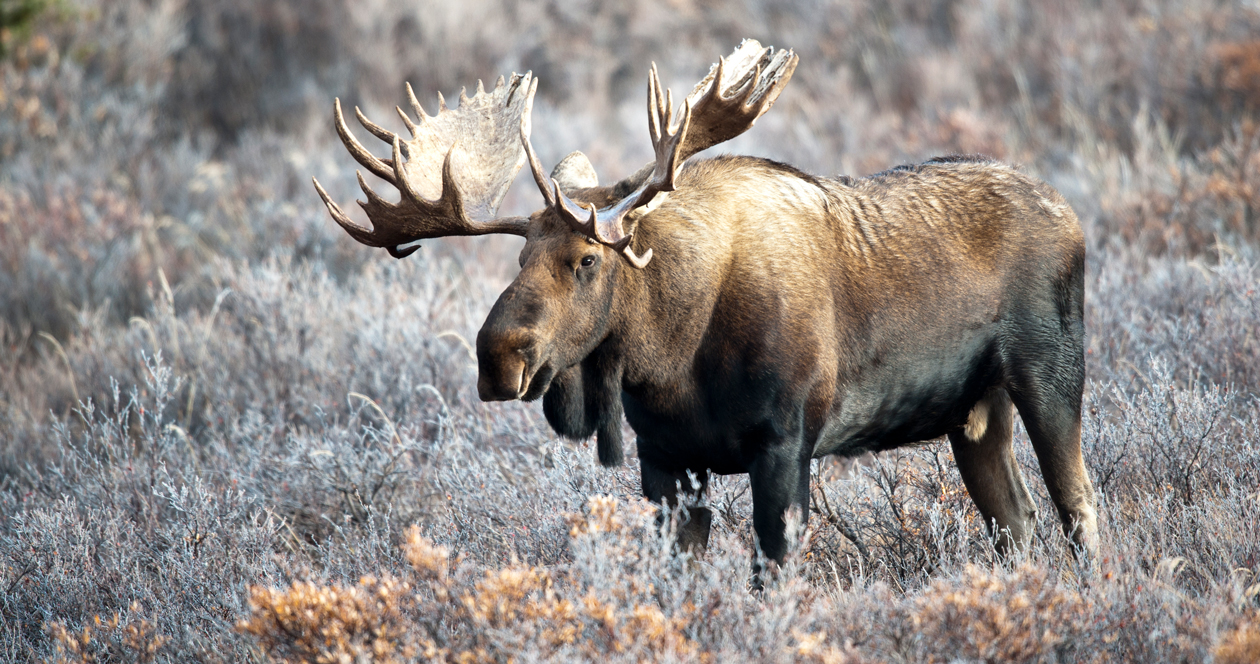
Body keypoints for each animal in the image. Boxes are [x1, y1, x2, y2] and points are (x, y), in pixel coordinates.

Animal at [313, 40, 1099, 571]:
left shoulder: (784, 445)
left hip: (1051, 376)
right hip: (975, 416)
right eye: (519, 259)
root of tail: (1072, 215)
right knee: (1018, 524)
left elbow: (771, 576)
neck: (671, 359)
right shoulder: (666, 463)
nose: (496, 358)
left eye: (587, 260)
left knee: (1079, 511)